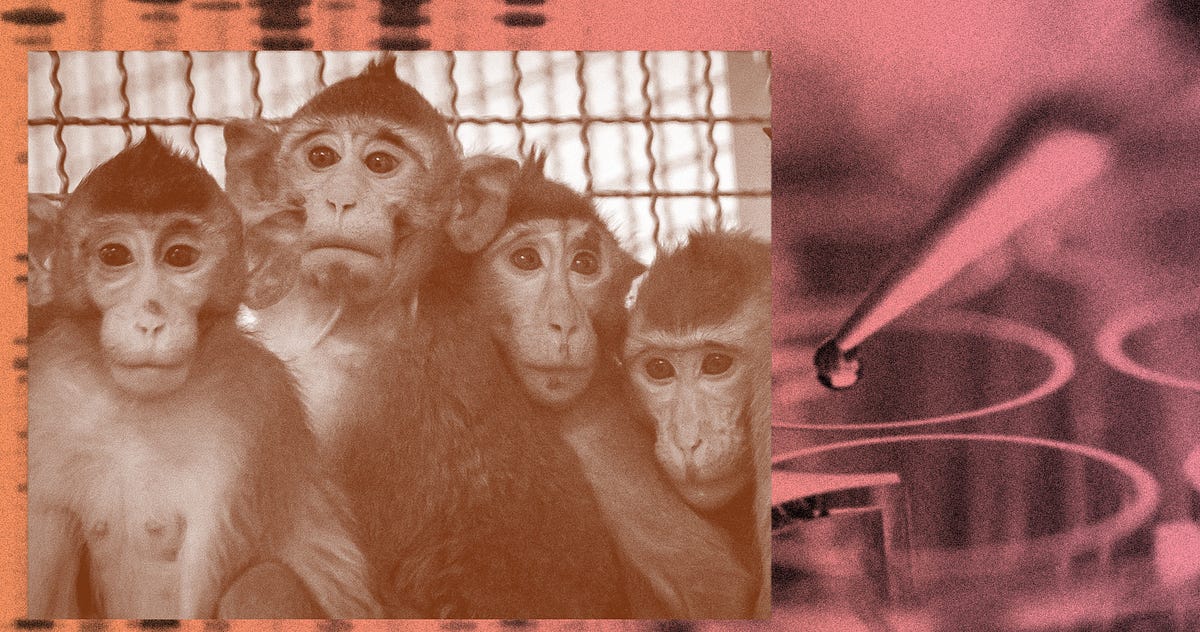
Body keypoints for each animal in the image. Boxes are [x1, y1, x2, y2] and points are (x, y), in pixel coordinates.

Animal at [25, 134, 380, 619]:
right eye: (114, 255)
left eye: (180, 256)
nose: (150, 319)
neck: (136, 408)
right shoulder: (46, 401)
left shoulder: (248, 414)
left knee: (260, 584)